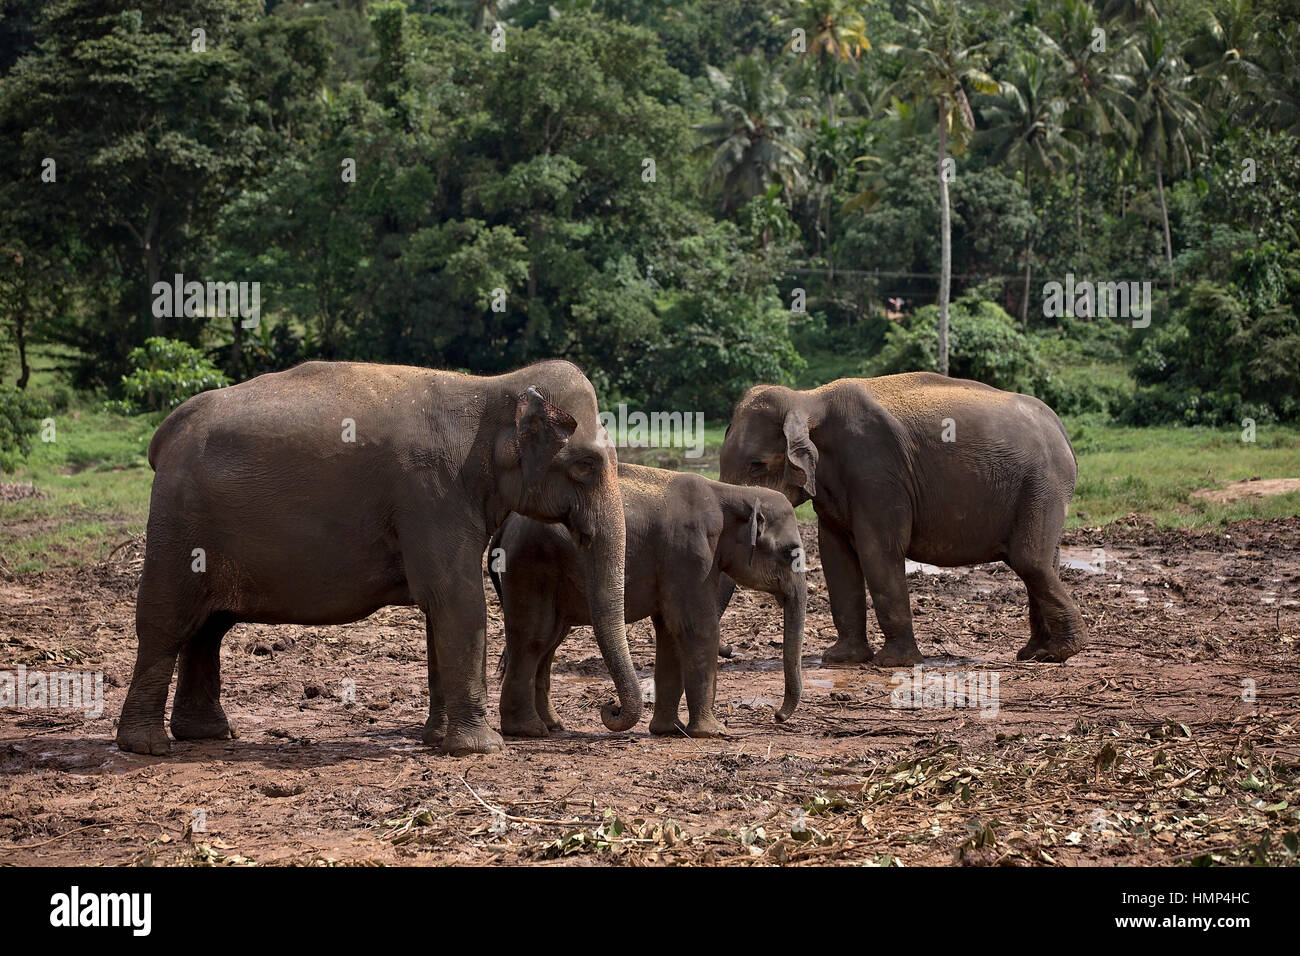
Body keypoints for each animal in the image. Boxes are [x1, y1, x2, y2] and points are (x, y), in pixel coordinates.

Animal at [116, 359, 641, 757]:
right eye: (586, 465)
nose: (609, 711)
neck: (492, 387)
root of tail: (167, 432)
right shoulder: (432, 495)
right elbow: (458, 600)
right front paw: (482, 748)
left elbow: (440, 609)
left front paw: (436, 738)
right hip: (178, 523)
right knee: (167, 622)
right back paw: (147, 746)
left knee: (208, 627)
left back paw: (206, 735)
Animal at [489, 463, 806, 739]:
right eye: (790, 552)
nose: (778, 716)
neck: (730, 492)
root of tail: (505, 526)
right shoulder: (689, 554)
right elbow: (696, 628)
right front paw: (713, 733)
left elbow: (670, 632)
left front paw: (670, 730)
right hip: (532, 565)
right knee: (534, 639)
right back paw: (527, 730)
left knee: (549, 642)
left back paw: (553, 724)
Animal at [719, 372, 1086, 667]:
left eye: (756, 464)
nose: (730, 652)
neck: (809, 398)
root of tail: (1061, 428)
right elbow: (836, 557)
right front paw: (841, 659)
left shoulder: (877, 470)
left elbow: (878, 551)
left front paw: (892, 663)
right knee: (1042, 562)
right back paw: (1034, 653)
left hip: (1043, 485)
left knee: (1030, 560)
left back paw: (1060, 653)